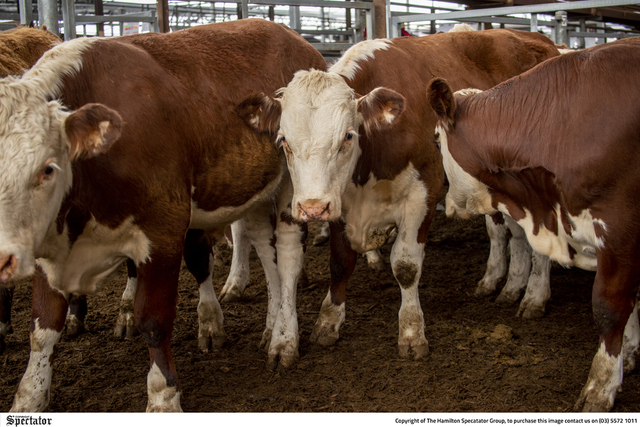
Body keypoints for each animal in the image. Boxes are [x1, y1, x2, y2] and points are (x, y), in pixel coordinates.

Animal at [0, 19, 325, 411]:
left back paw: (284, 339)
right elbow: (43, 326)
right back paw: (270, 324)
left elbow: (153, 321)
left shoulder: (164, 230)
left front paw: (163, 395)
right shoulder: (48, 243)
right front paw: (28, 398)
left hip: (295, 183)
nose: (2, 258)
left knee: (288, 254)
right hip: (257, 188)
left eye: (47, 168)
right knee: (265, 248)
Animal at [237, 29, 560, 359]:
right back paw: (505, 283)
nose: (312, 207)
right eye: (283, 140)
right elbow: (340, 262)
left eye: (348, 136)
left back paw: (534, 295)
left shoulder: (424, 193)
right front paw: (328, 320)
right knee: (508, 232)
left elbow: (406, 265)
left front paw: (411, 331)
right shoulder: (339, 200)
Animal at [426, 37, 640, 411]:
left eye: (438, 141)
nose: (448, 204)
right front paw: (628, 354)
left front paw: (601, 386)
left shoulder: (620, 230)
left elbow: (610, 308)